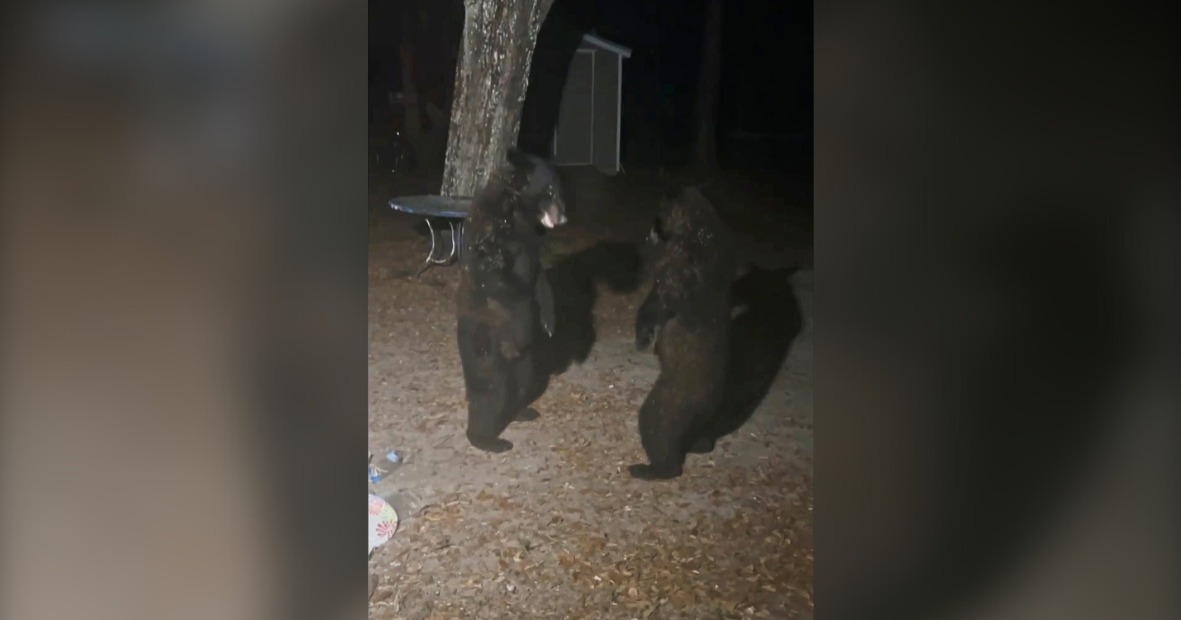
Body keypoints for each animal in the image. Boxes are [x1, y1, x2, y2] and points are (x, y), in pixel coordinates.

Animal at [456, 148, 568, 453]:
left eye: (558, 188)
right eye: (550, 190)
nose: (564, 218)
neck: (518, 214)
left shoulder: (531, 244)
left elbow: (540, 276)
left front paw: (549, 321)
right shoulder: (492, 231)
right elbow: (496, 273)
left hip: (526, 360)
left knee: (521, 384)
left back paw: (520, 411)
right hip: (487, 349)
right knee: (489, 392)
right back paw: (487, 439)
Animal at [630, 186, 737, 480]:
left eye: (662, 210)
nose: (649, 231)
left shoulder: (675, 270)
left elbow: (656, 303)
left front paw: (642, 337)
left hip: (670, 404)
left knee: (656, 427)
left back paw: (650, 469)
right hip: (701, 417)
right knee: (698, 434)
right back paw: (700, 445)